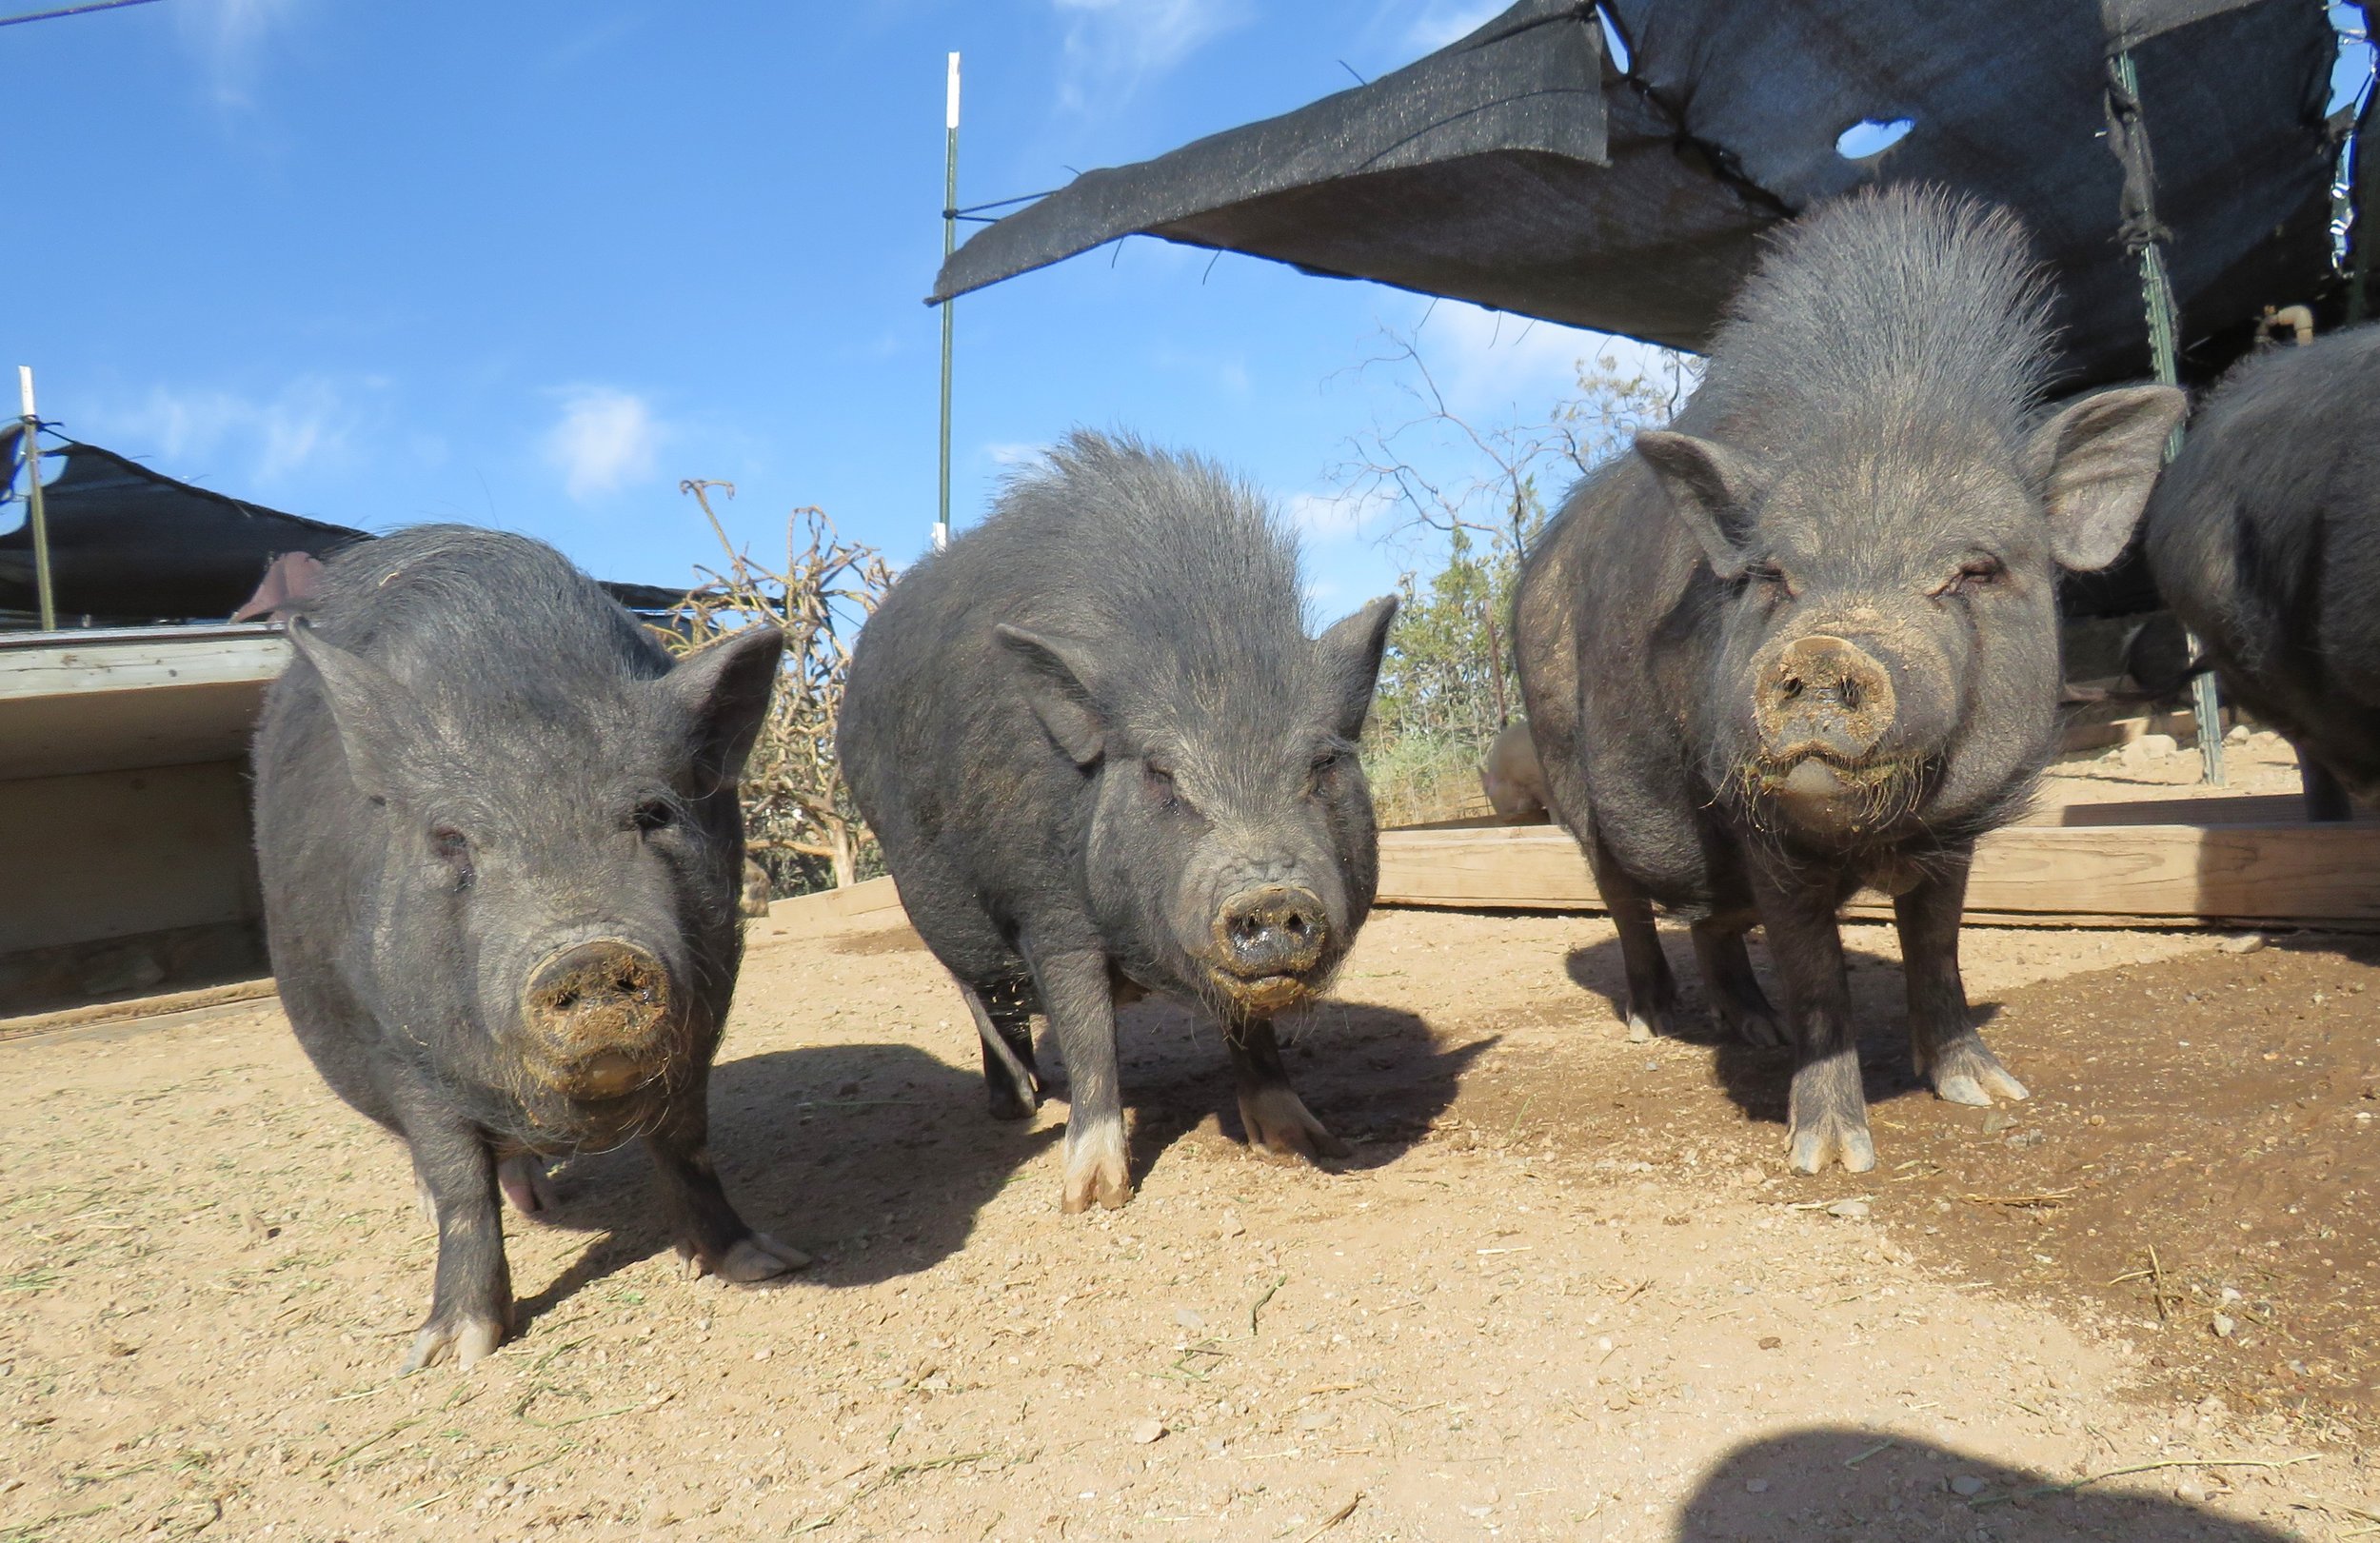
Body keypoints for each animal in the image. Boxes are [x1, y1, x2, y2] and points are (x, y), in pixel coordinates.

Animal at [252, 526, 808, 1371]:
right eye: (450, 838)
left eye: (653, 812)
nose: (586, 951)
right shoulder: (399, 1049)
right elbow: (459, 1186)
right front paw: (451, 1354)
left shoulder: (704, 1020)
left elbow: (689, 1146)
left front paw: (764, 1264)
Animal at [837, 432, 1398, 1212]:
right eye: (1161, 774)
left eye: (1321, 763)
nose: (1270, 897)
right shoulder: (1047, 909)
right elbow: (1088, 1031)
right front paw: (1093, 1198)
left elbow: (1251, 1027)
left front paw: (1308, 1146)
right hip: (929, 901)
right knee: (980, 992)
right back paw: (1017, 1103)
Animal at [1515, 188, 2184, 1173]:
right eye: (1774, 575)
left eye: (1973, 571)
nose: (1828, 647)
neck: (1878, 836)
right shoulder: (1758, 829)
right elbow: (1817, 971)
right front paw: (1831, 1157)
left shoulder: (1956, 836)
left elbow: (1938, 946)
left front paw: (1989, 1092)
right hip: (1566, 763)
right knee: (1627, 898)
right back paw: (1653, 1023)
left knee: (1712, 919)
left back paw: (1749, 1031)